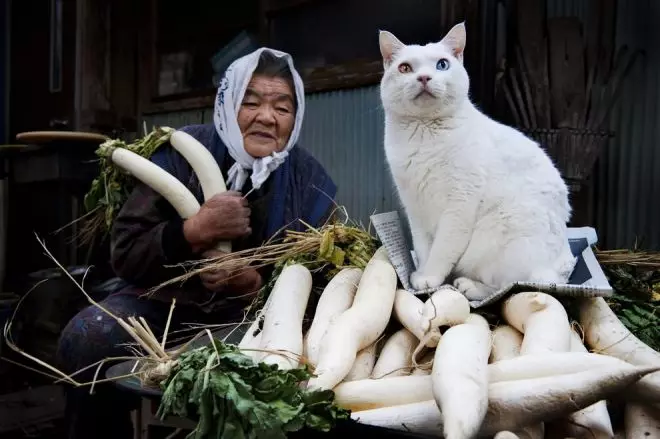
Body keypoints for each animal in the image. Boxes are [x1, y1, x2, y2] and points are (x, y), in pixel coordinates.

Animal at [378, 22, 576, 300]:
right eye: (405, 68)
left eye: (442, 65)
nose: (424, 77)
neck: (424, 137)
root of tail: (565, 262)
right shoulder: (415, 209)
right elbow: (424, 247)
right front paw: (423, 277)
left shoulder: (459, 205)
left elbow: (442, 249)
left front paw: (431, 277)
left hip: (502, 233)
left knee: (511, 285)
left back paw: (469, 285)